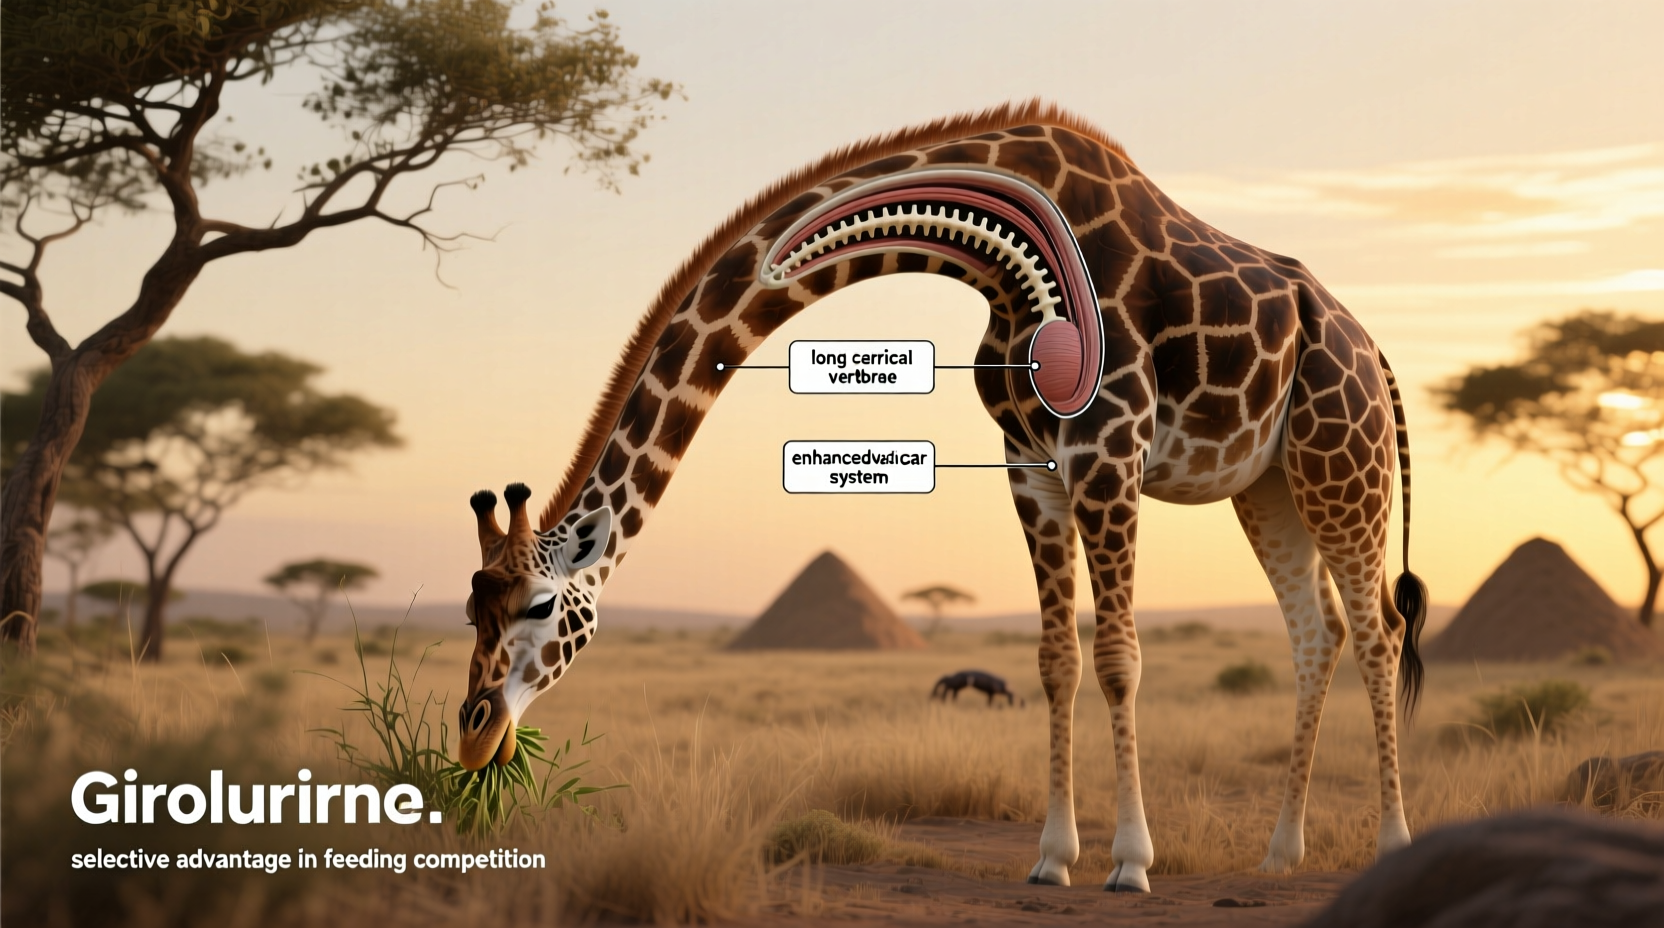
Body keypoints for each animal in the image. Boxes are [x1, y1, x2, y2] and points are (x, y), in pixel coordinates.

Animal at [457, 101, 1428, 892]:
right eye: (472, 608)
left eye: (541, 607)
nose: (472, 735)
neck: (1000, 259)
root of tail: (1374, 351)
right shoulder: (1031, 466)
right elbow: (1056, 659)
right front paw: (1051, 859)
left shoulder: (1109, 450)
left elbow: (1119, 656)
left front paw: (1129, 862)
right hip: (1268, 486)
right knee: (1318, 633)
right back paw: (1280, 854)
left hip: (1342, 464)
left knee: (1378, 629)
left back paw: (1391, 843)